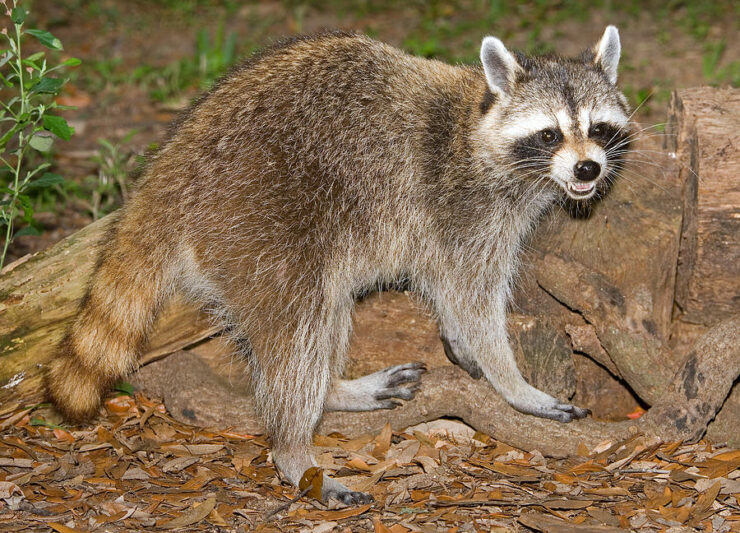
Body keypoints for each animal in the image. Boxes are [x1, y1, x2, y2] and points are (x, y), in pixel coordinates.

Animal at [47, 27, 631, 504]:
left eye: (599, 129)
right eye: (550, 134)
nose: (587, 168)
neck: (477, 125)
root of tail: (170, 169)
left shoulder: (449, 222)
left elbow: (444, 285)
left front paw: (462, 342)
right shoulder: (461, 206)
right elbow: (472, 296)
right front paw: (511, 380)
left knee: (327, 307)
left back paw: (332, 389)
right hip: (255, 215)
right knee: (298, 327)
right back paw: (294, 445)